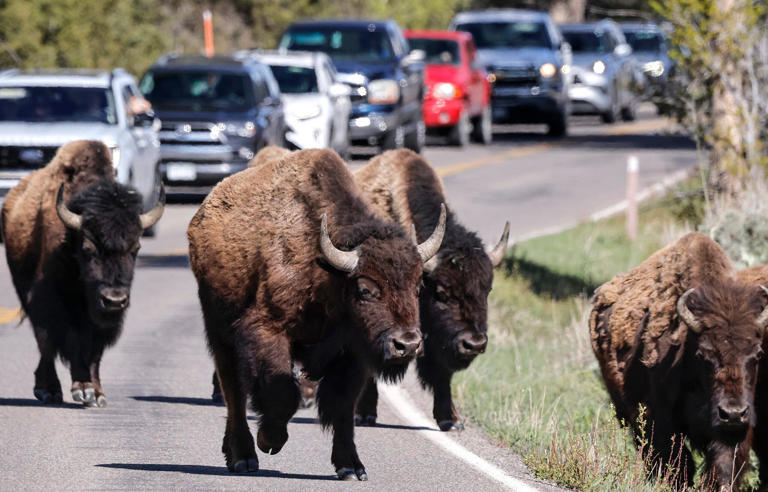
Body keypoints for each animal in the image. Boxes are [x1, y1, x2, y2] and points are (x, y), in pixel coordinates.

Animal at [1, 140, 164, 407]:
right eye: (88, 248)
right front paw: (82, 389)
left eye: (136, 248)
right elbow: (70, 338)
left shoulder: (102, 321)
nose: (114, 299)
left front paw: (96, 393)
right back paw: (48, 390)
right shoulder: (56, 302)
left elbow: (95, 350)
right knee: (45, 343)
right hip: (26, 292)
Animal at [187, 149, 445, 480]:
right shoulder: (267, 331)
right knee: (233, 391)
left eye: (417, 286)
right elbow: (283, 393)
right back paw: (244, 457)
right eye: (364, 289)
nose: (407, 344)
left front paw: (351, 467)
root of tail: (202, 214)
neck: (327, 272)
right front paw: (270, 440)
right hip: (219, 332)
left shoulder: (351, 354)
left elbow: (342, 406)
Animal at [590, 233, 768, 489]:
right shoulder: (661, 417)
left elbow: (725, 464)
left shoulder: (735, 430)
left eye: (758, 354)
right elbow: (676, 457)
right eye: (703, 354)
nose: (733, 413)